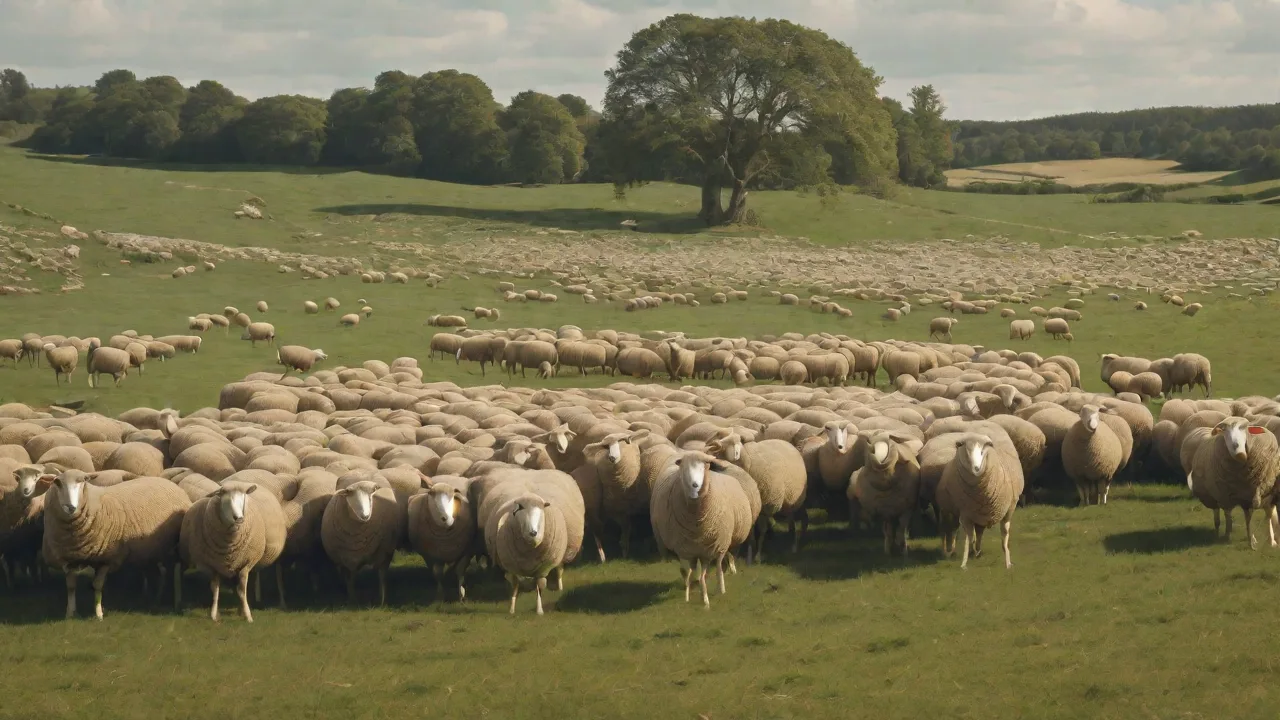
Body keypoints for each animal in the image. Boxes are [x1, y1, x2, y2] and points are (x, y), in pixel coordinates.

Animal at [42, 471, 191, 619]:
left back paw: (177, 602)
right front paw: (70, 613)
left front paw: (99, 614)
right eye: (57, 482)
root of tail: (171, 483)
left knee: (176, 571)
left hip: (175, 546)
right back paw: (155, 599)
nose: (71, 507)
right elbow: (71, 586)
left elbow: (97, 585)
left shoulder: (106, 558)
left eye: (83, 480)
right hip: (153, 548)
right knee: (161, 572)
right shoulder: (68, 559)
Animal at [649, 450, 751, 608]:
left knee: (719, 566)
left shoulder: (710, 548)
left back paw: (720, 587)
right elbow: (686, 571)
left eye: (705, 466)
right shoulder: (684, 548)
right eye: (684, 468)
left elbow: (708, 572)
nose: (695, 485)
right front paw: (688, 596)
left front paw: (706, 599)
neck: (696, 525)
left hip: (720, 544)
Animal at [936, 433, 1024, 569]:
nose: (976, 468)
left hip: (980, 513)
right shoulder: (965, 513)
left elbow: (1004, 534)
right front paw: (964, 562)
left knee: (977, 532)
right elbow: (968, 537)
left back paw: (975, 550)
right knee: (948, 529)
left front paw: (1008, 562)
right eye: (967, 450)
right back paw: (950, 551)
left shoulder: (1008, 509)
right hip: (949, 509)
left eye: (983, 451)